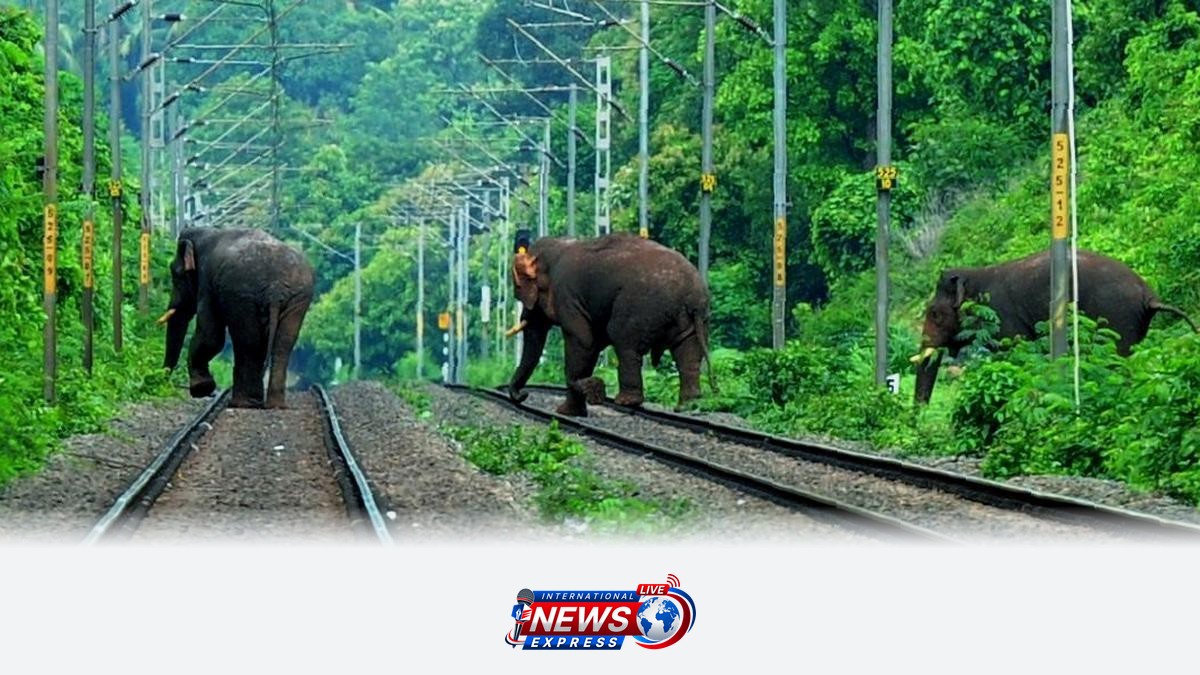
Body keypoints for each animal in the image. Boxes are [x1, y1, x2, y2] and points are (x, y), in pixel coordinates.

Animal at [160, 227, 315, 409]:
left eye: (175, 273)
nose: (164, 381)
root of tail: (275, 288)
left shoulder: (207, 283)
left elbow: (210, 336)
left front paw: (201, 389)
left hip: (242, 295)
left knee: (248, 341)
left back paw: (243, 403)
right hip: (297, 298)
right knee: (282, 343)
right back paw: (271, 404)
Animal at [506, 233, 713, 416]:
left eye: (518, 291)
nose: (523, 395)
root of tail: (694, 293)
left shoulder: (567, 296)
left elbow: (583, 341)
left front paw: (569, 407)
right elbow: (592, 345)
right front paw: (571, 411)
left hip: (640, 307)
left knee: (623, 341)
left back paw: (626, 402)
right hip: (691, 319)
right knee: (687, 354)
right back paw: (688, 406)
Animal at [912, 248, 1197, 404]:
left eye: (935, 314)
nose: (917, 420)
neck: (976, 273)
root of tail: (1149, 294)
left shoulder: (1003, 318)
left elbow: (1014, 353)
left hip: (1117, 317)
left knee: (1117, 361)